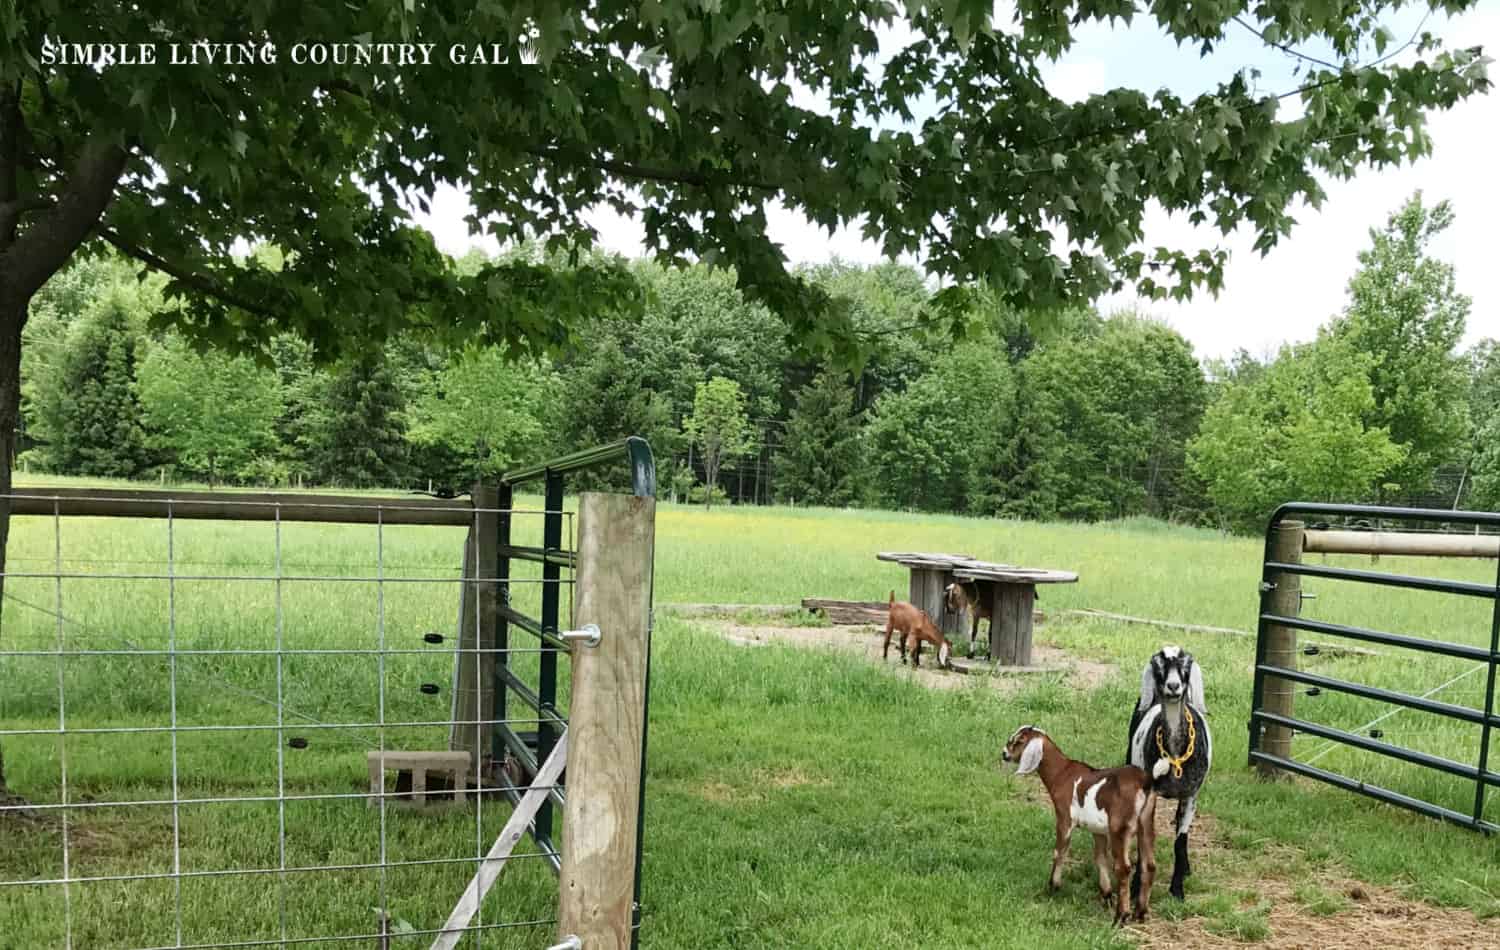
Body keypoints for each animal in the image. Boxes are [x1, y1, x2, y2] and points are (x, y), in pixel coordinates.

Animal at [1002, 724, 1167, 925]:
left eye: (1019, 741)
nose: (1004, 753)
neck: (1062, 773)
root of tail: (1145, 782)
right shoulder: (1098, 830)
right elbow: (1100, 858)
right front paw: (1106, 895)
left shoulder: (1064, 818)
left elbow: (1059, 852)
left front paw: (1053, 887)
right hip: (1146, 821)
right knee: (1149, 865)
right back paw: (1141, 912)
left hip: (1119, 828)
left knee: (1123, 868)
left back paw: (1121, 916)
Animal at [1125, 645, 1213, 901]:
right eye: (1158, 665)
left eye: (1186, 665)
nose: (1173, 686)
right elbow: (1144, 842)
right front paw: (1136, 886)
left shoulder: (1191, 795)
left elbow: (1180, 842)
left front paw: (1177, 889)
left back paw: (1185, 869)